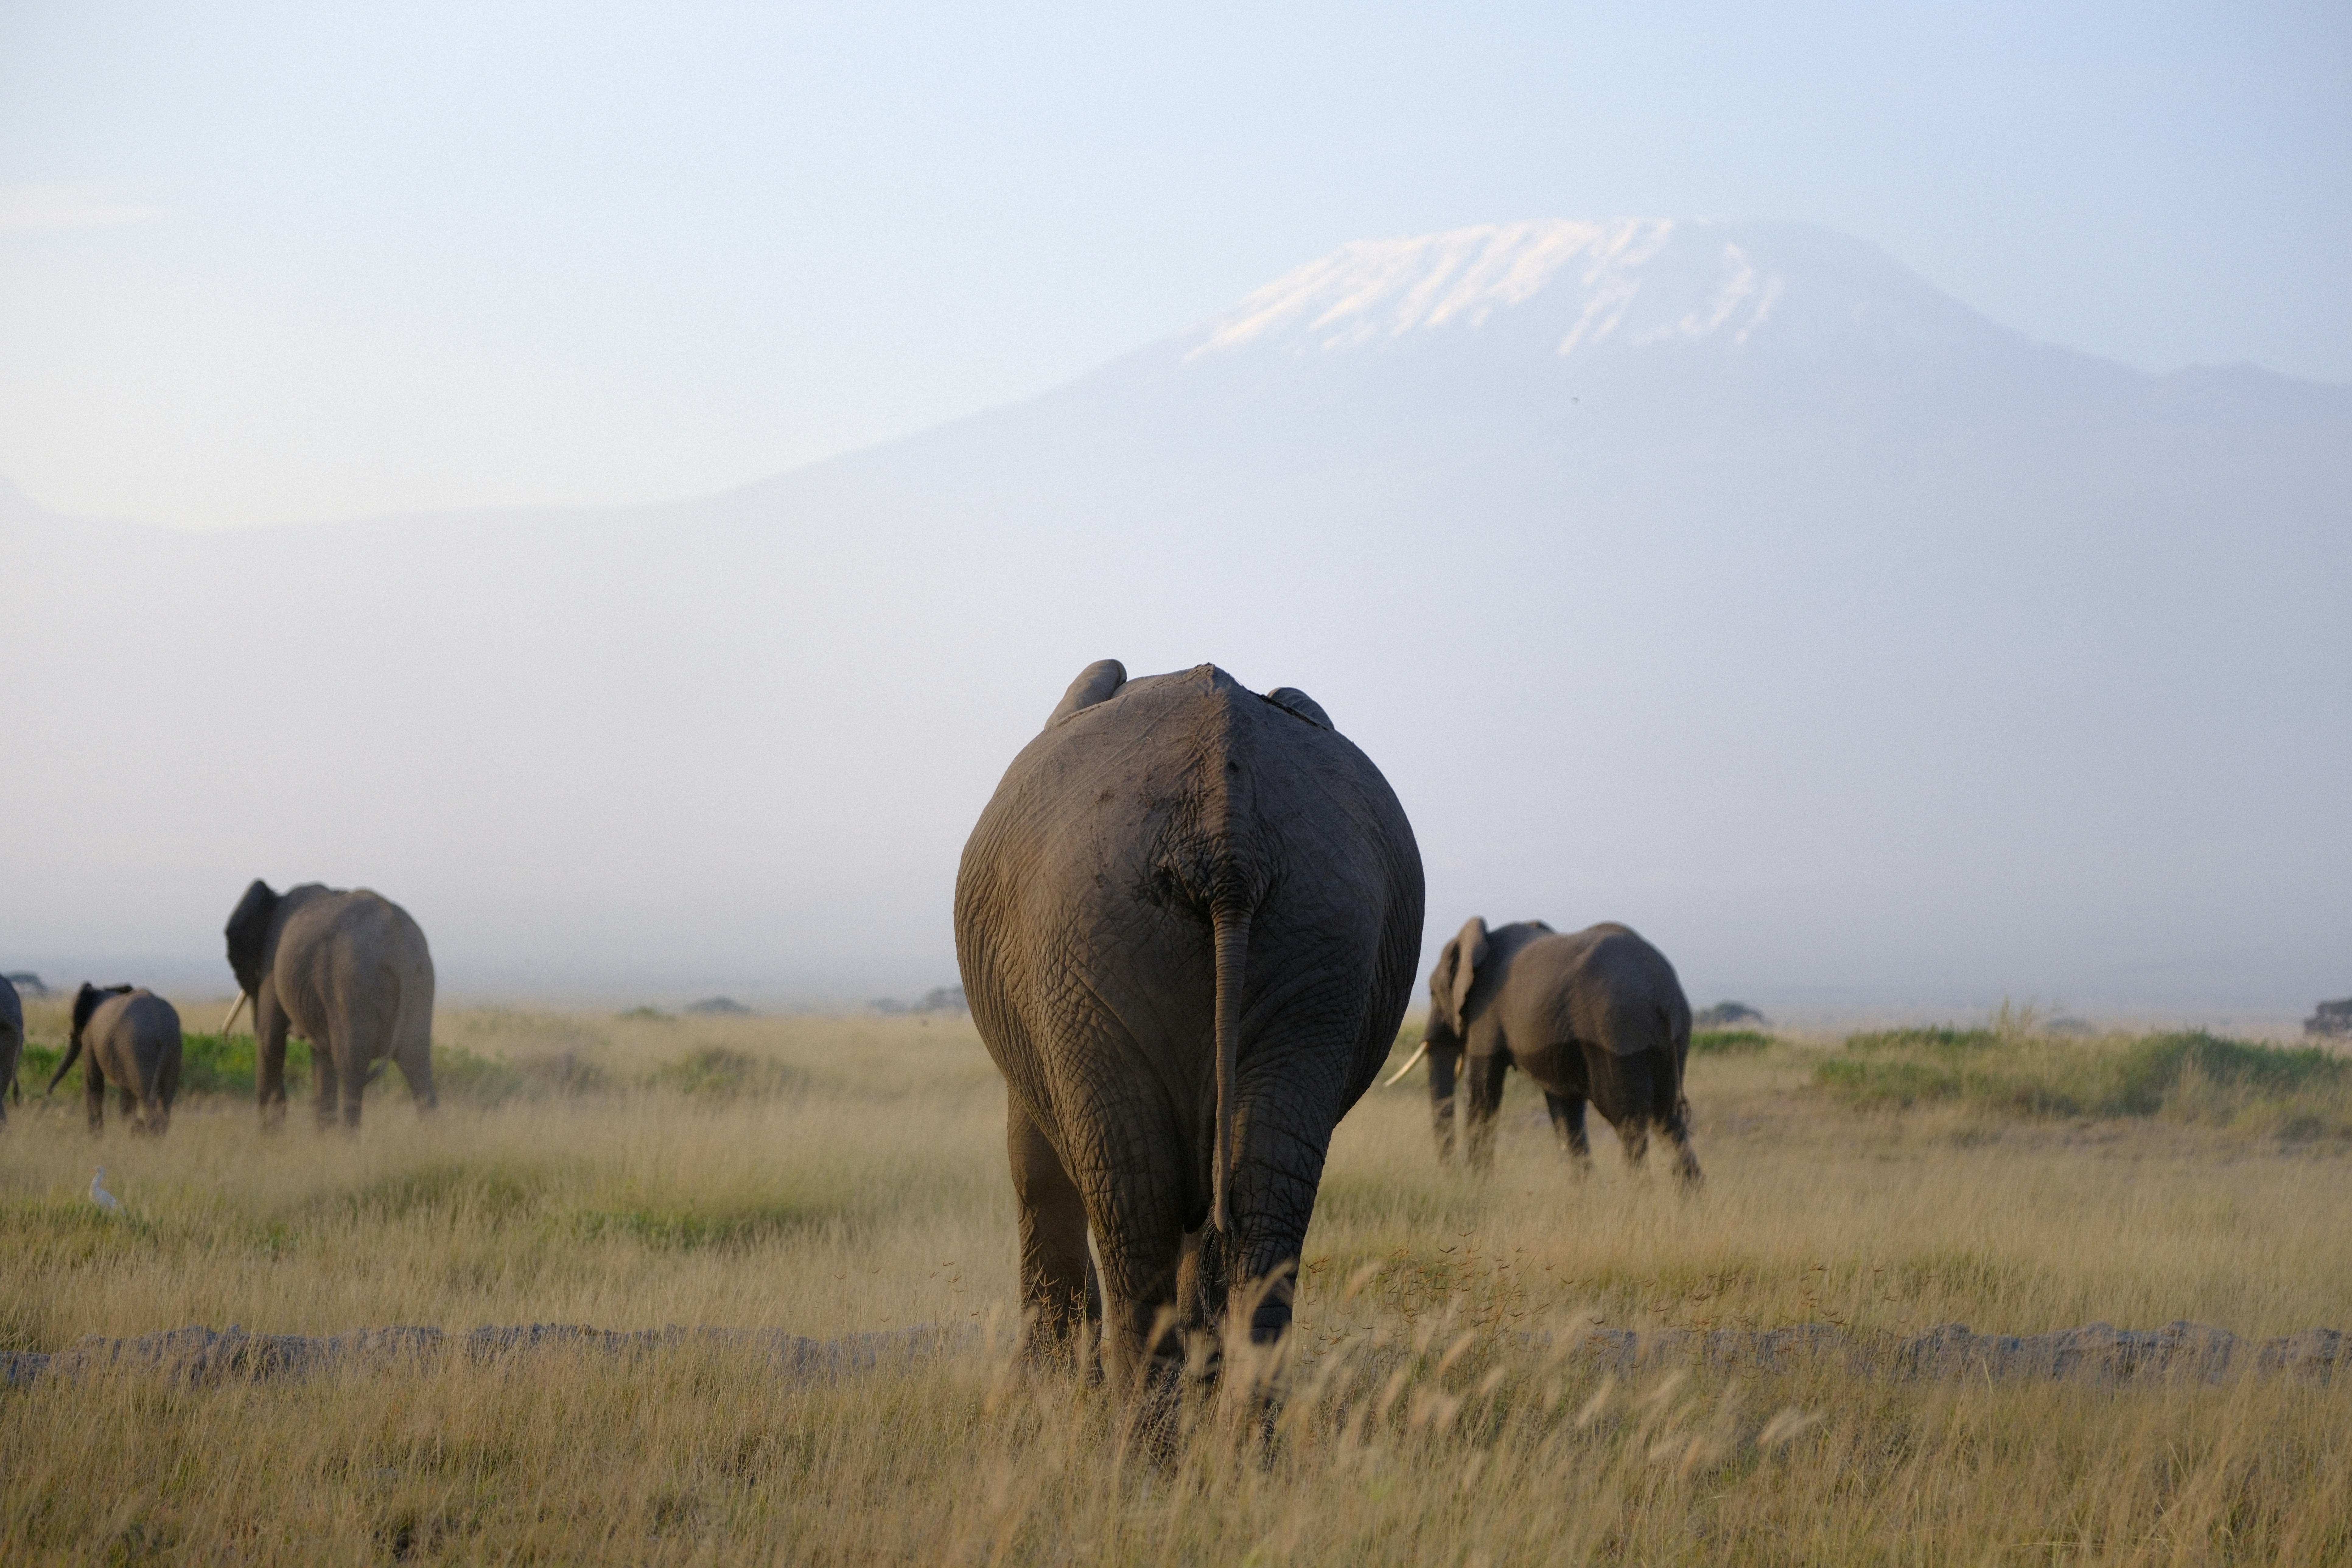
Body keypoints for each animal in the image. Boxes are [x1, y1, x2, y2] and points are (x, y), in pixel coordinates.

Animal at [46, 984, 183, 1135]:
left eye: (71, 1018)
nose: (49, 1092)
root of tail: (161, 1026)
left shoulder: (90, 1037)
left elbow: (93, 1082)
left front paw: (96, 1137)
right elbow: (125, 1093)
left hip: (139, 1048)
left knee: (146, 1096)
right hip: (173, 1047)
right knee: (166, 1097)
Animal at [224, 880, 437, 1129]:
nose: (225, 1037)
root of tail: (398, 940)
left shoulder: (272, 964)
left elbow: (270, 1039)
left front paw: (270, 1136)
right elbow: (321, 1057)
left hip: (351, 981)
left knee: (351, 1067)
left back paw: (347, 1138)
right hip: (421, 977)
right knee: (417, 1062)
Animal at [955, 660, 1424, 1392]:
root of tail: (1226, 839)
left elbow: (1034, 1168)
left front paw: (1047, 1390)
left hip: (1084, 937)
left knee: (1136, 1207)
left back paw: (1139, 1423)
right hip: (1325, 933)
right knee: (1260, 1203)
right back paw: (1233, 1421)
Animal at [1397, 919, 1700, 1184]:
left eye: (1433, 994)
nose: (1451, 1177)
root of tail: (1661, 989)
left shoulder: (1486, 1011)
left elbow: (1482, 1092)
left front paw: (1476, 1186)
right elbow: (1565, 1108)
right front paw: (1585, 1193)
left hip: (1615, 1028)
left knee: (1628, 1119)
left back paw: (1639, 1196)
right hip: (1673, 1035)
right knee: (1667, 1119)